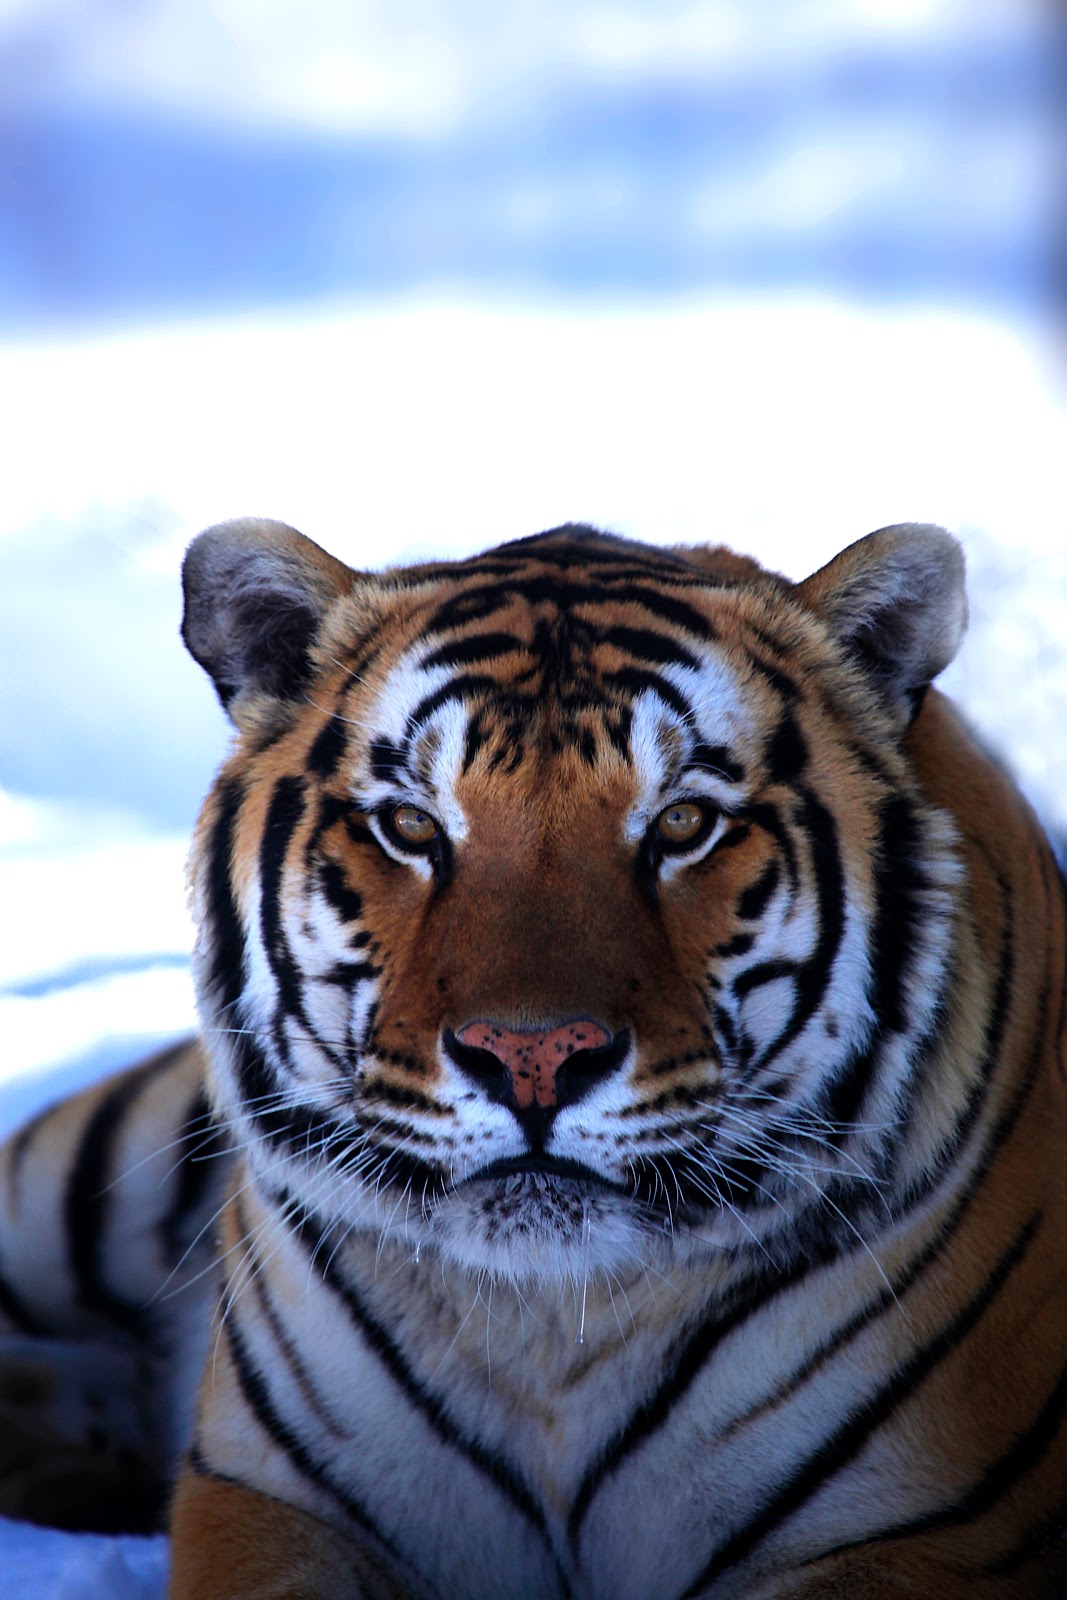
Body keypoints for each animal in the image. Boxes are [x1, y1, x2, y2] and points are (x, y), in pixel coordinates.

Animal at [0, 516, 1065, 1600]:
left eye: (682, 822)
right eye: (410, 824)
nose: (531, 1056)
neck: (553, 1333)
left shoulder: (927, 1528)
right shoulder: (270, 1502)